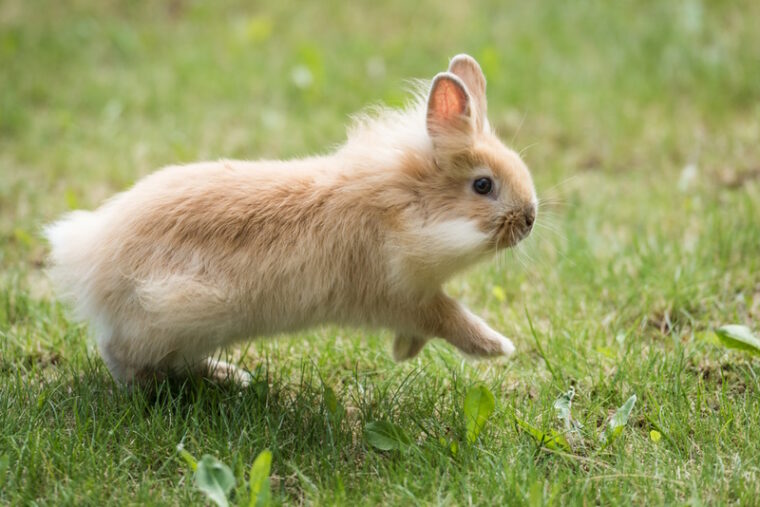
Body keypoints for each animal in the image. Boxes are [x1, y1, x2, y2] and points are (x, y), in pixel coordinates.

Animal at [45, 54, 537, 385]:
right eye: (482, 186)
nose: (530, 218)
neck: (401, 207)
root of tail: (89, 257)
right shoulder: (405, 295)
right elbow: (451, 318)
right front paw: (498, 347)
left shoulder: (412, 299)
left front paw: (402, 353)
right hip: (178, 315)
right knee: (120, 355)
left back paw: (231, 376)